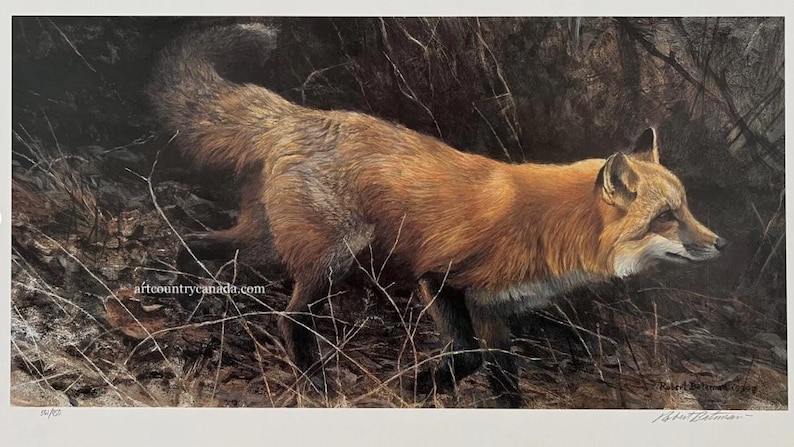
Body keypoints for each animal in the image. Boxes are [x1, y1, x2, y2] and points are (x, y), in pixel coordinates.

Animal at [147, 23, 727, 407]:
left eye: (686, 209)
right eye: (667, 216)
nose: (722, 244)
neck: (552, 227)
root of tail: (301, 116)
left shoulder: (494, 309)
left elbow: (505, 380)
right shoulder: (441, 278)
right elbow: (467, 357)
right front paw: (420, 388)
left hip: (267, 240)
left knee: (195, 241)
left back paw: (177, 292)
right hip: (336, 253)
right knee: (291, 318)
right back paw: (316, 383)